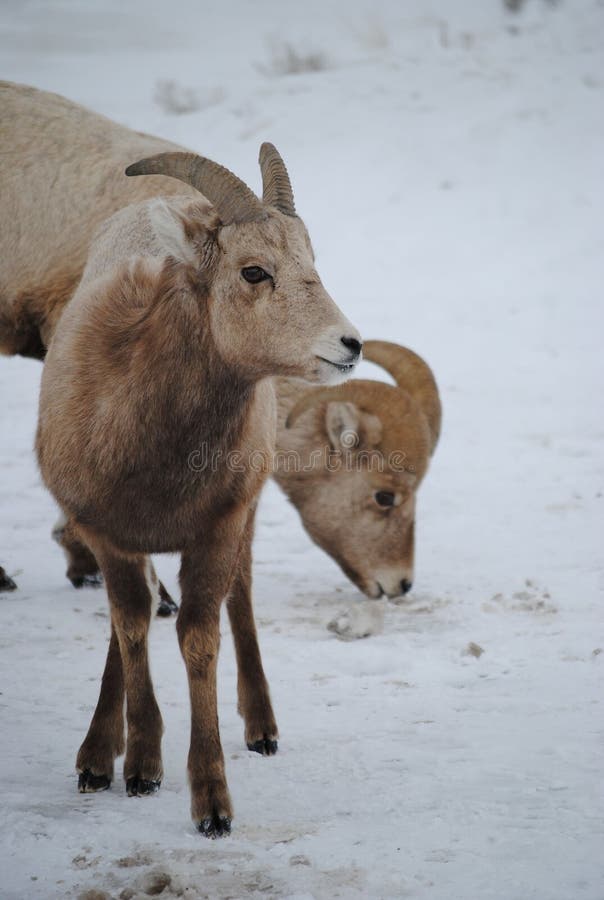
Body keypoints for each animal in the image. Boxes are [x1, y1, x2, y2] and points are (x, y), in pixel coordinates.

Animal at [3, 82, 362, 834]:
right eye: (254, 271)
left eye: (312, 260)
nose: (349, 345)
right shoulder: (109, 535)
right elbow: (133, 626)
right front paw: (137, 767)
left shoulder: (216, 532)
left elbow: (200, 638)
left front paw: (212, 804)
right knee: (124, 624)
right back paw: (96, 756)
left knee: (241, 598)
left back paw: (261, 730)